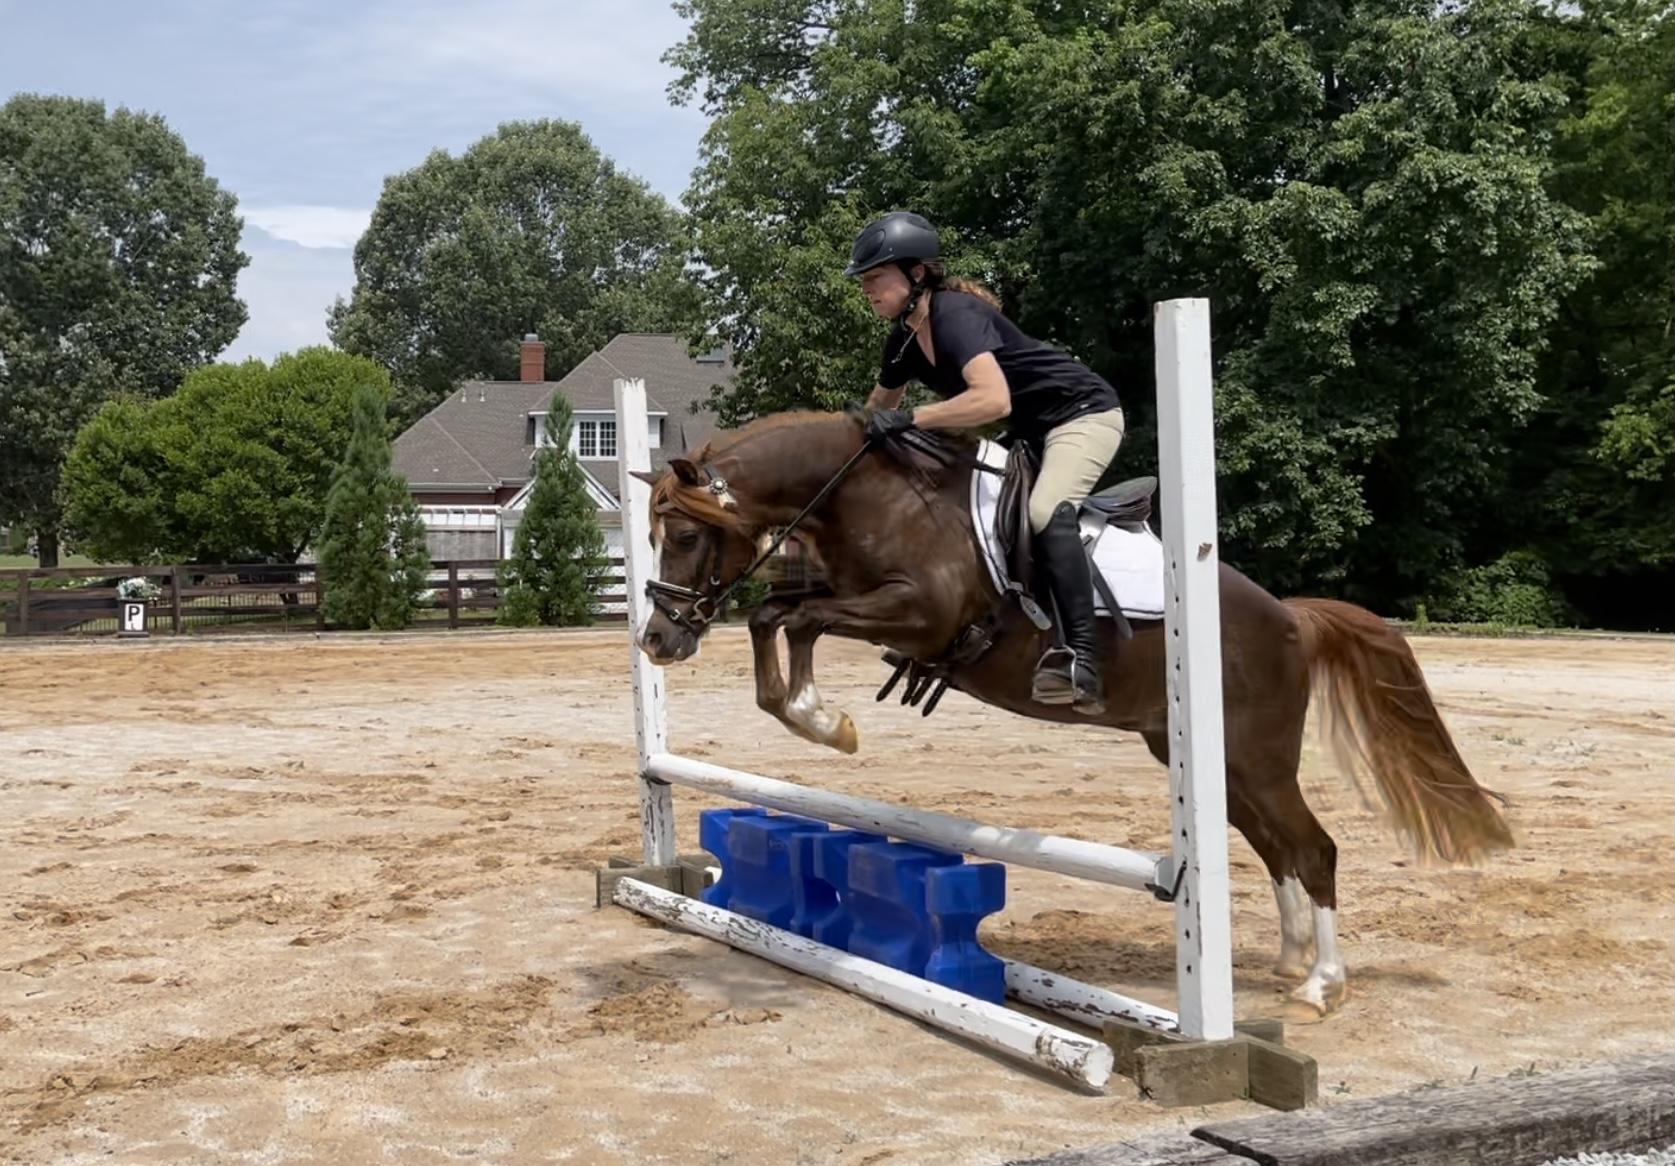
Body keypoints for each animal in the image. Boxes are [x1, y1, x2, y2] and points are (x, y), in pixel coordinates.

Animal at [629, 409, 1514, 1017]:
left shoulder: (919, 614)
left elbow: (795, 620)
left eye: (685, 537)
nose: (658, 640)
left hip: (1256, 756)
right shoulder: (851, 597)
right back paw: (1291, 960)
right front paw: (813, 715)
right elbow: (776, 615)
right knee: (1274, 848)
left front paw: (820, 719)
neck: (870, 493)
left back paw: (1321, 983)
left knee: (1313, 847)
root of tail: (1290, 618)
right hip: (1207, 758)